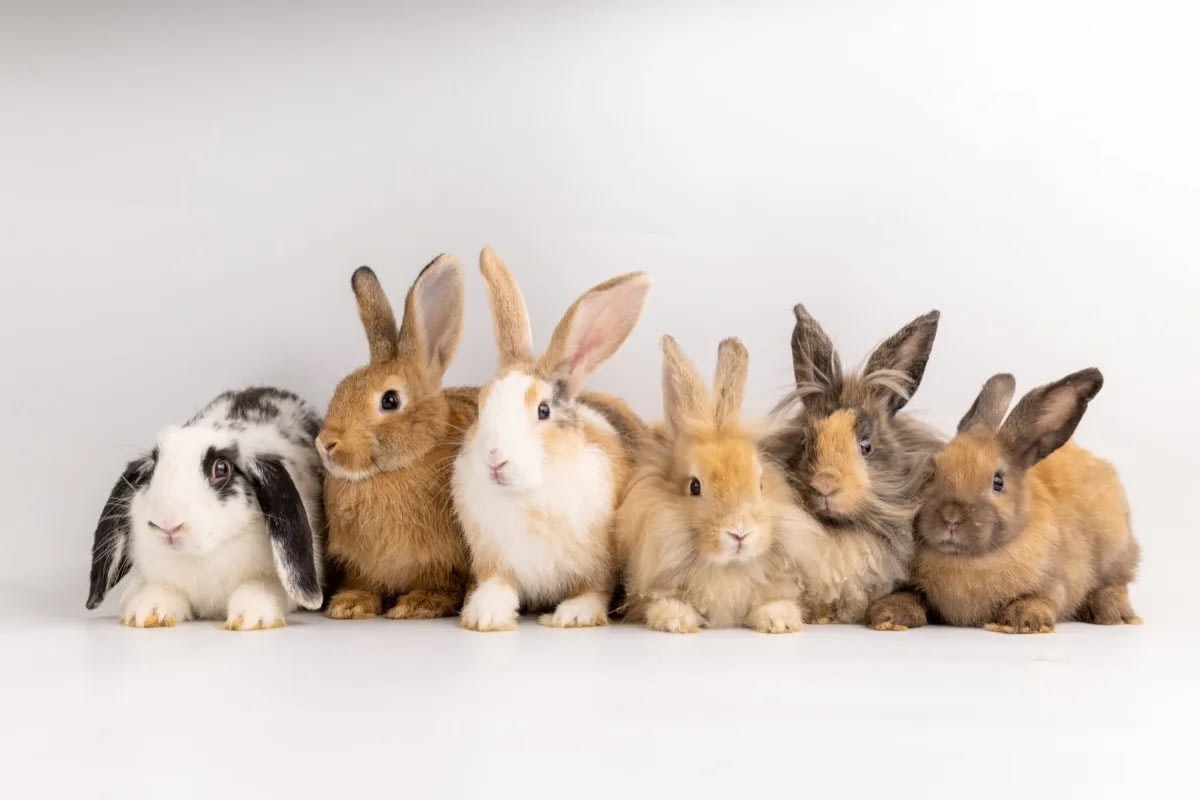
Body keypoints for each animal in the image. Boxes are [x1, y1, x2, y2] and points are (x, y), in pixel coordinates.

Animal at [86, 387, 325, 630]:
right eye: (152, 468)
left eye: (222, 468)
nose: (167, 525)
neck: (202, 556)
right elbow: (160, 589)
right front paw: (147, 613)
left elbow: (260, 587)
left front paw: (249, 619)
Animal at [316, 256, 477, 621]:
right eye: (340, 388)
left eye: (390, 400)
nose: (326, 443)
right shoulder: (360, 565)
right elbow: (363, 583)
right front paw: (350, 604)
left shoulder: (444, 561)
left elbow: (440, 584)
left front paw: (420, 604)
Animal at [453, 246, 651, 632]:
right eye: (482, 404)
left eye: (543, 410)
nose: (494, 458)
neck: (527, 495)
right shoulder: (494, 560)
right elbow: (497, 585)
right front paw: (484, 616)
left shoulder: (600, 562)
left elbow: (594, 589)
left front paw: (573, 615)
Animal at [616, 335, 823, 634]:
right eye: (695, 487)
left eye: (761, 484)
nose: (740, 533)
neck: (727, 569)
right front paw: (675, 620)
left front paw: (779, 621)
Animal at [867, 369, 1141, 634]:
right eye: (932, 472)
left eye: (998, 482)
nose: (951, 517)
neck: (968, 561)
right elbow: (910, 596)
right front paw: (888, 616)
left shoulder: (1058, 583)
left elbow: (1040, 598)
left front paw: (1024, 622)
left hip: (1114, 550)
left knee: (1114, 584)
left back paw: (1115, 614)